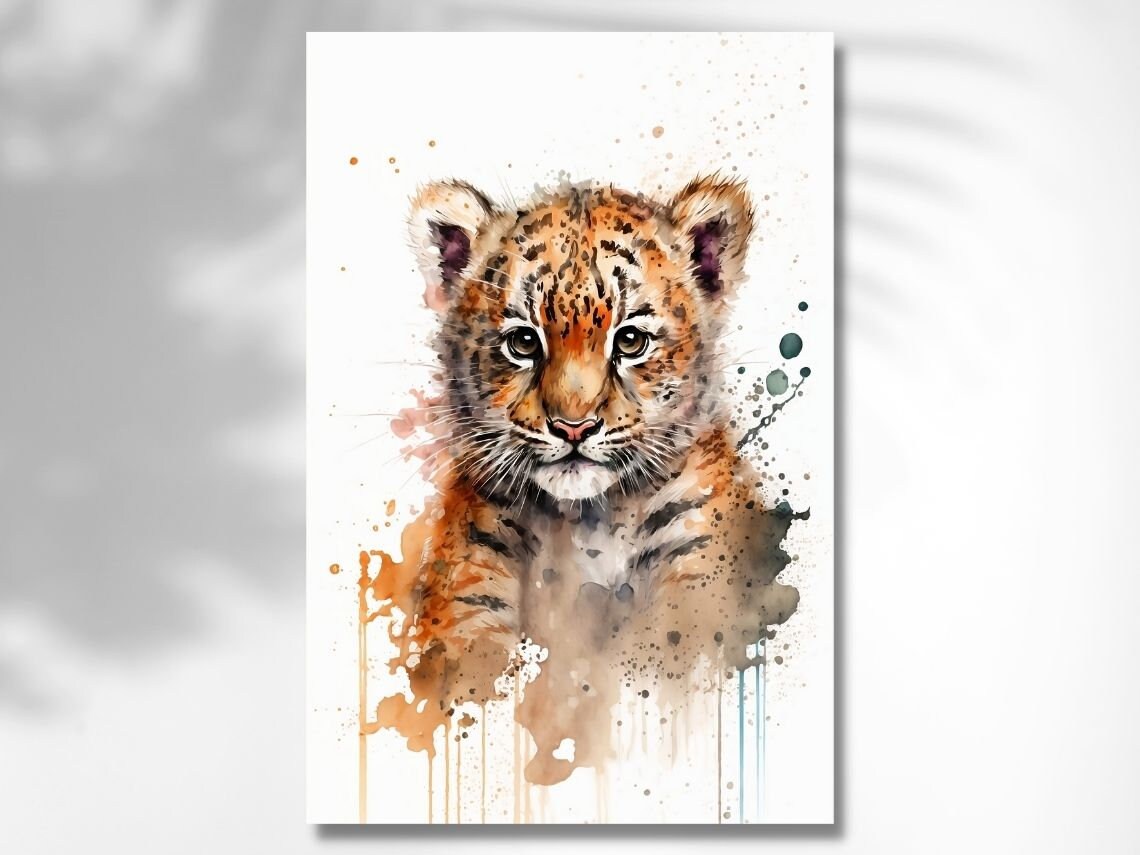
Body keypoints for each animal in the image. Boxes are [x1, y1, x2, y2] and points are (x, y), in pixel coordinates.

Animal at [369, 175, 804, 785]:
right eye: (524, 342)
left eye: (630, 341)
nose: (573, 426)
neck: (585, 520)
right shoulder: (468, 596)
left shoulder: (702, 583)